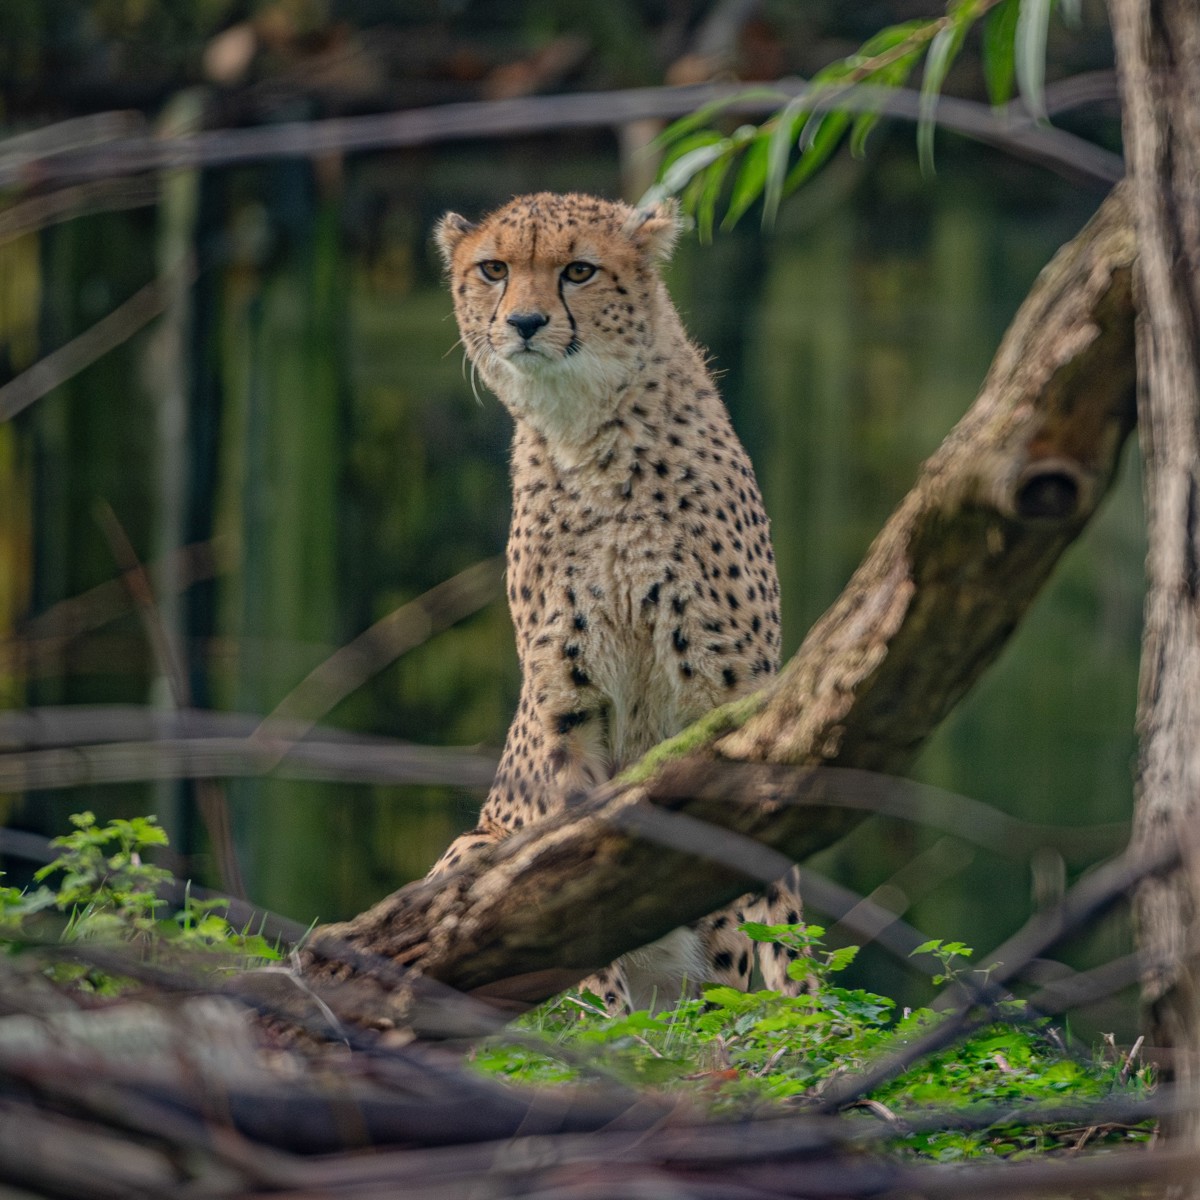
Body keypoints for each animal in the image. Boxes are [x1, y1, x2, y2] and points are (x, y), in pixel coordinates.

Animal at [429, 191, 803, 1012]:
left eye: (578, 270)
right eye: (494, 269)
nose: (524, 322)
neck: (588, 434)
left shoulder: (736, 697)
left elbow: (783, 915)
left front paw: (809, 1013)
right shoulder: (565, 699)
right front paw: (608, 1020)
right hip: (473, 843)